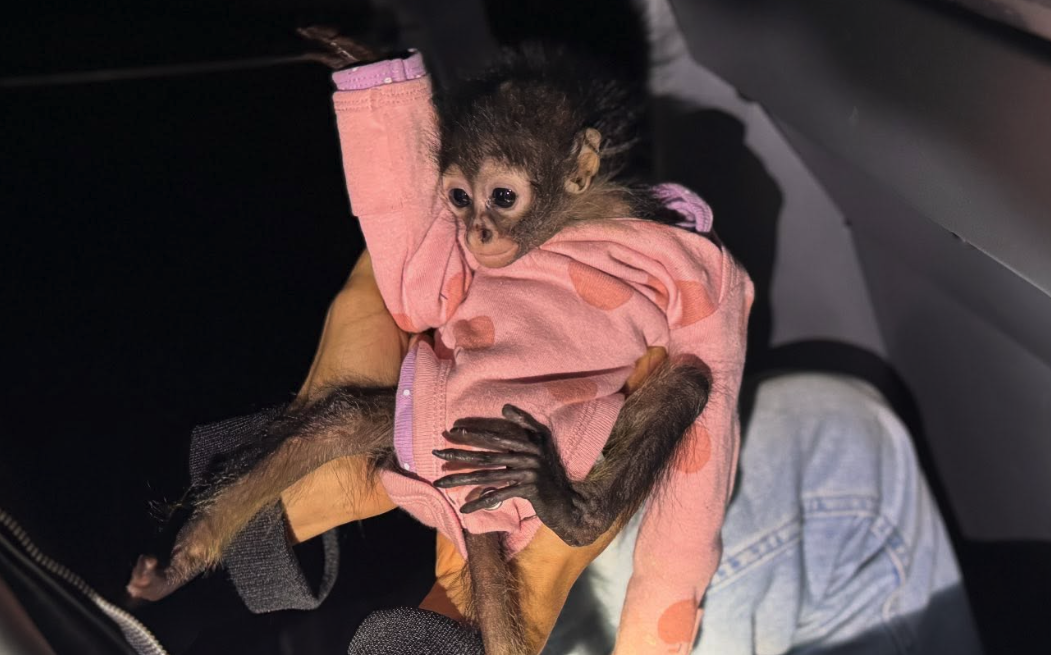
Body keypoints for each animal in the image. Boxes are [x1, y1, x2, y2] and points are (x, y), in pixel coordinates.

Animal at [129, 32, 751, 655]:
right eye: (458, 198)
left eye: (502, 197)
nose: (477, 232)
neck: (566, 222)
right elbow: (417, 294)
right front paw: (359, 61)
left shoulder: (683, 254)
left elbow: (716, 337)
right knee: (340, 419)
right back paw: (181, 561)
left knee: (692, 380)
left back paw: (573, 512)